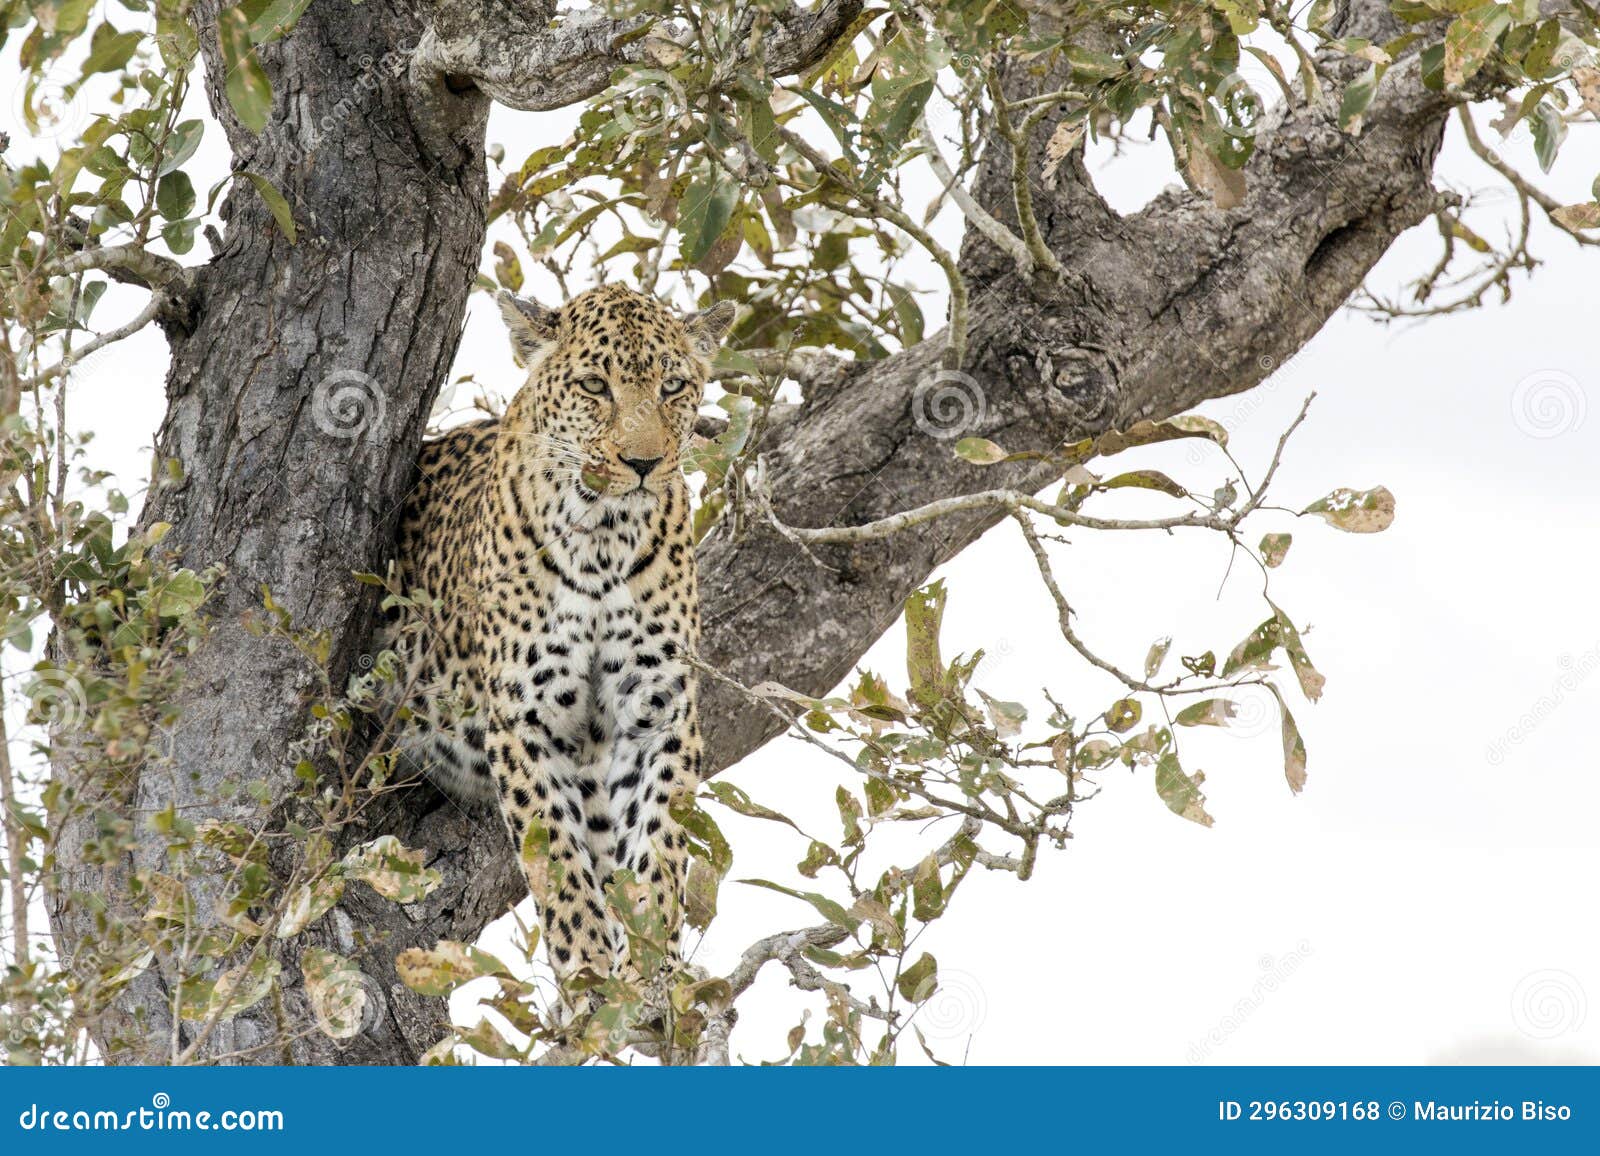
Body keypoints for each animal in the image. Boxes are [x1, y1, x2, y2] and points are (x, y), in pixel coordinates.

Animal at [383, 283, 736, 1001]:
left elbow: (659, 846)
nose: (643, 463)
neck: (605, 537)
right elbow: (558, 863)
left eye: (674, 385)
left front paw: (650, 972)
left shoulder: (658, 710)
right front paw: (589, 975)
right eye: (595, 385)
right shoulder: (527, 718)